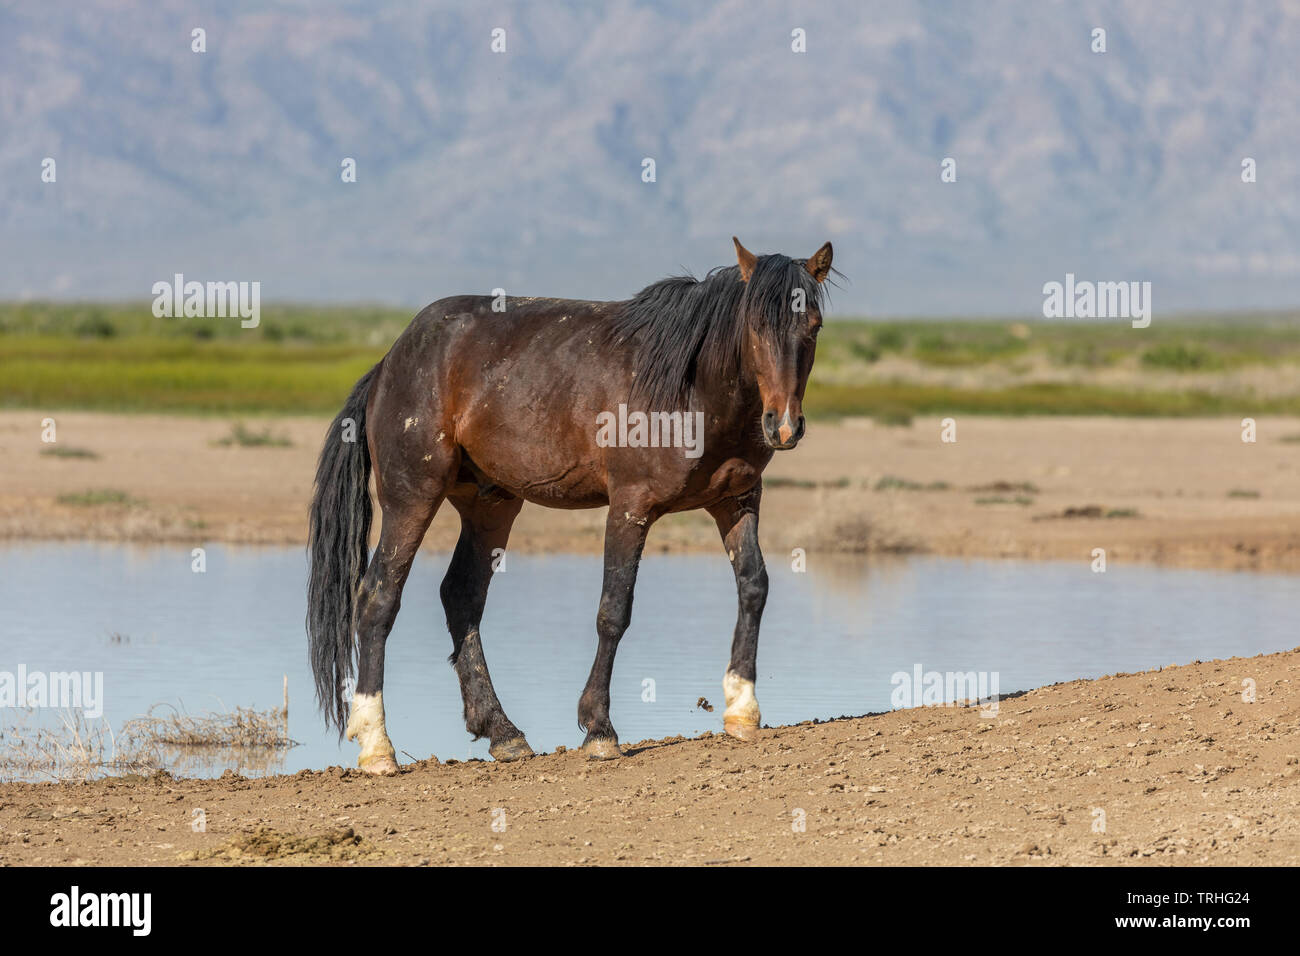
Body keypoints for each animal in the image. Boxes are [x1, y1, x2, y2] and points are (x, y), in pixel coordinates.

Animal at [307, 237, 834, 773]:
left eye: (813, 326)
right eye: (755, 326)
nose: (783, 425)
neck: (692, 389)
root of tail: (389, 362)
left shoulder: (737, 501)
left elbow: (754, 586)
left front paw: (743, 709)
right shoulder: (630, 506)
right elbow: (614, 611)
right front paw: (599, 729)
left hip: (489, 506)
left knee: (462, 597)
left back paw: (503, 732)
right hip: (412, 497)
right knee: (378, 598)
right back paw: (377, 745)